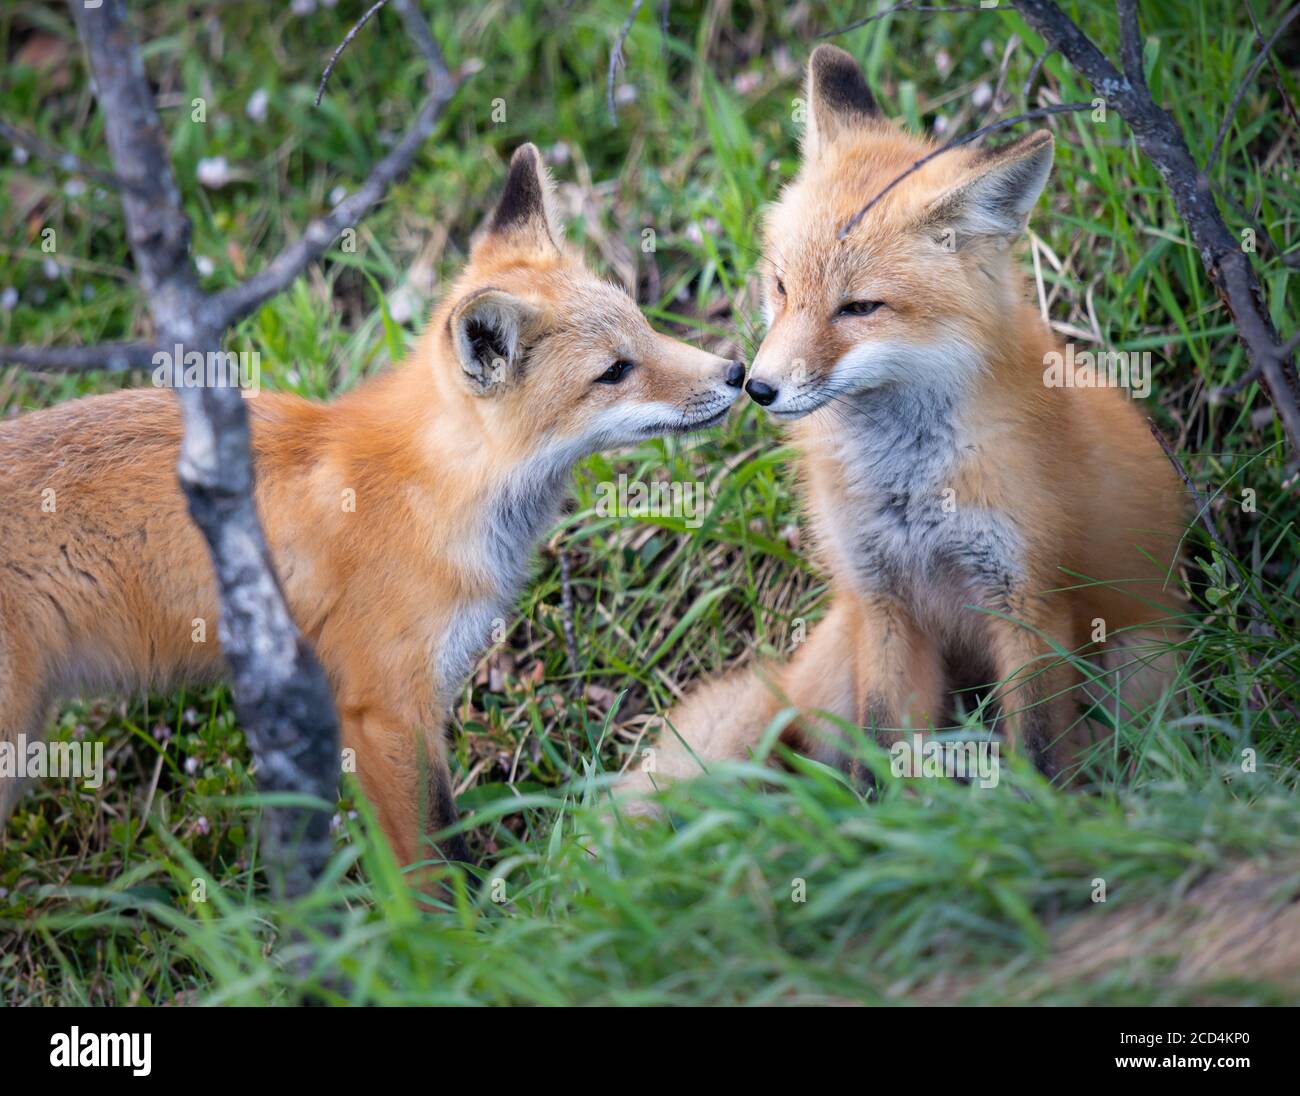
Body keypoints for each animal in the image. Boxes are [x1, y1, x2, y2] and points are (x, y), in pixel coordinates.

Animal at [0, 143, 745, 867]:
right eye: (614, 371)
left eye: (645, 326)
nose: (737, 372)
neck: (433, 491)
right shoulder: (383, 708)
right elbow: (436, 865)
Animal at [617, 46, 1184, 806]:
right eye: (782, 287)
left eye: (860, 308)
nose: (758, 387)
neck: (910, 486)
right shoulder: (883, 601)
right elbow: (883, 751)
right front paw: (879, 826)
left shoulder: (1028, 603)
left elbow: (1038, 748)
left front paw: (1046, 816)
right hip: (842, 648)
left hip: (1141, 665)